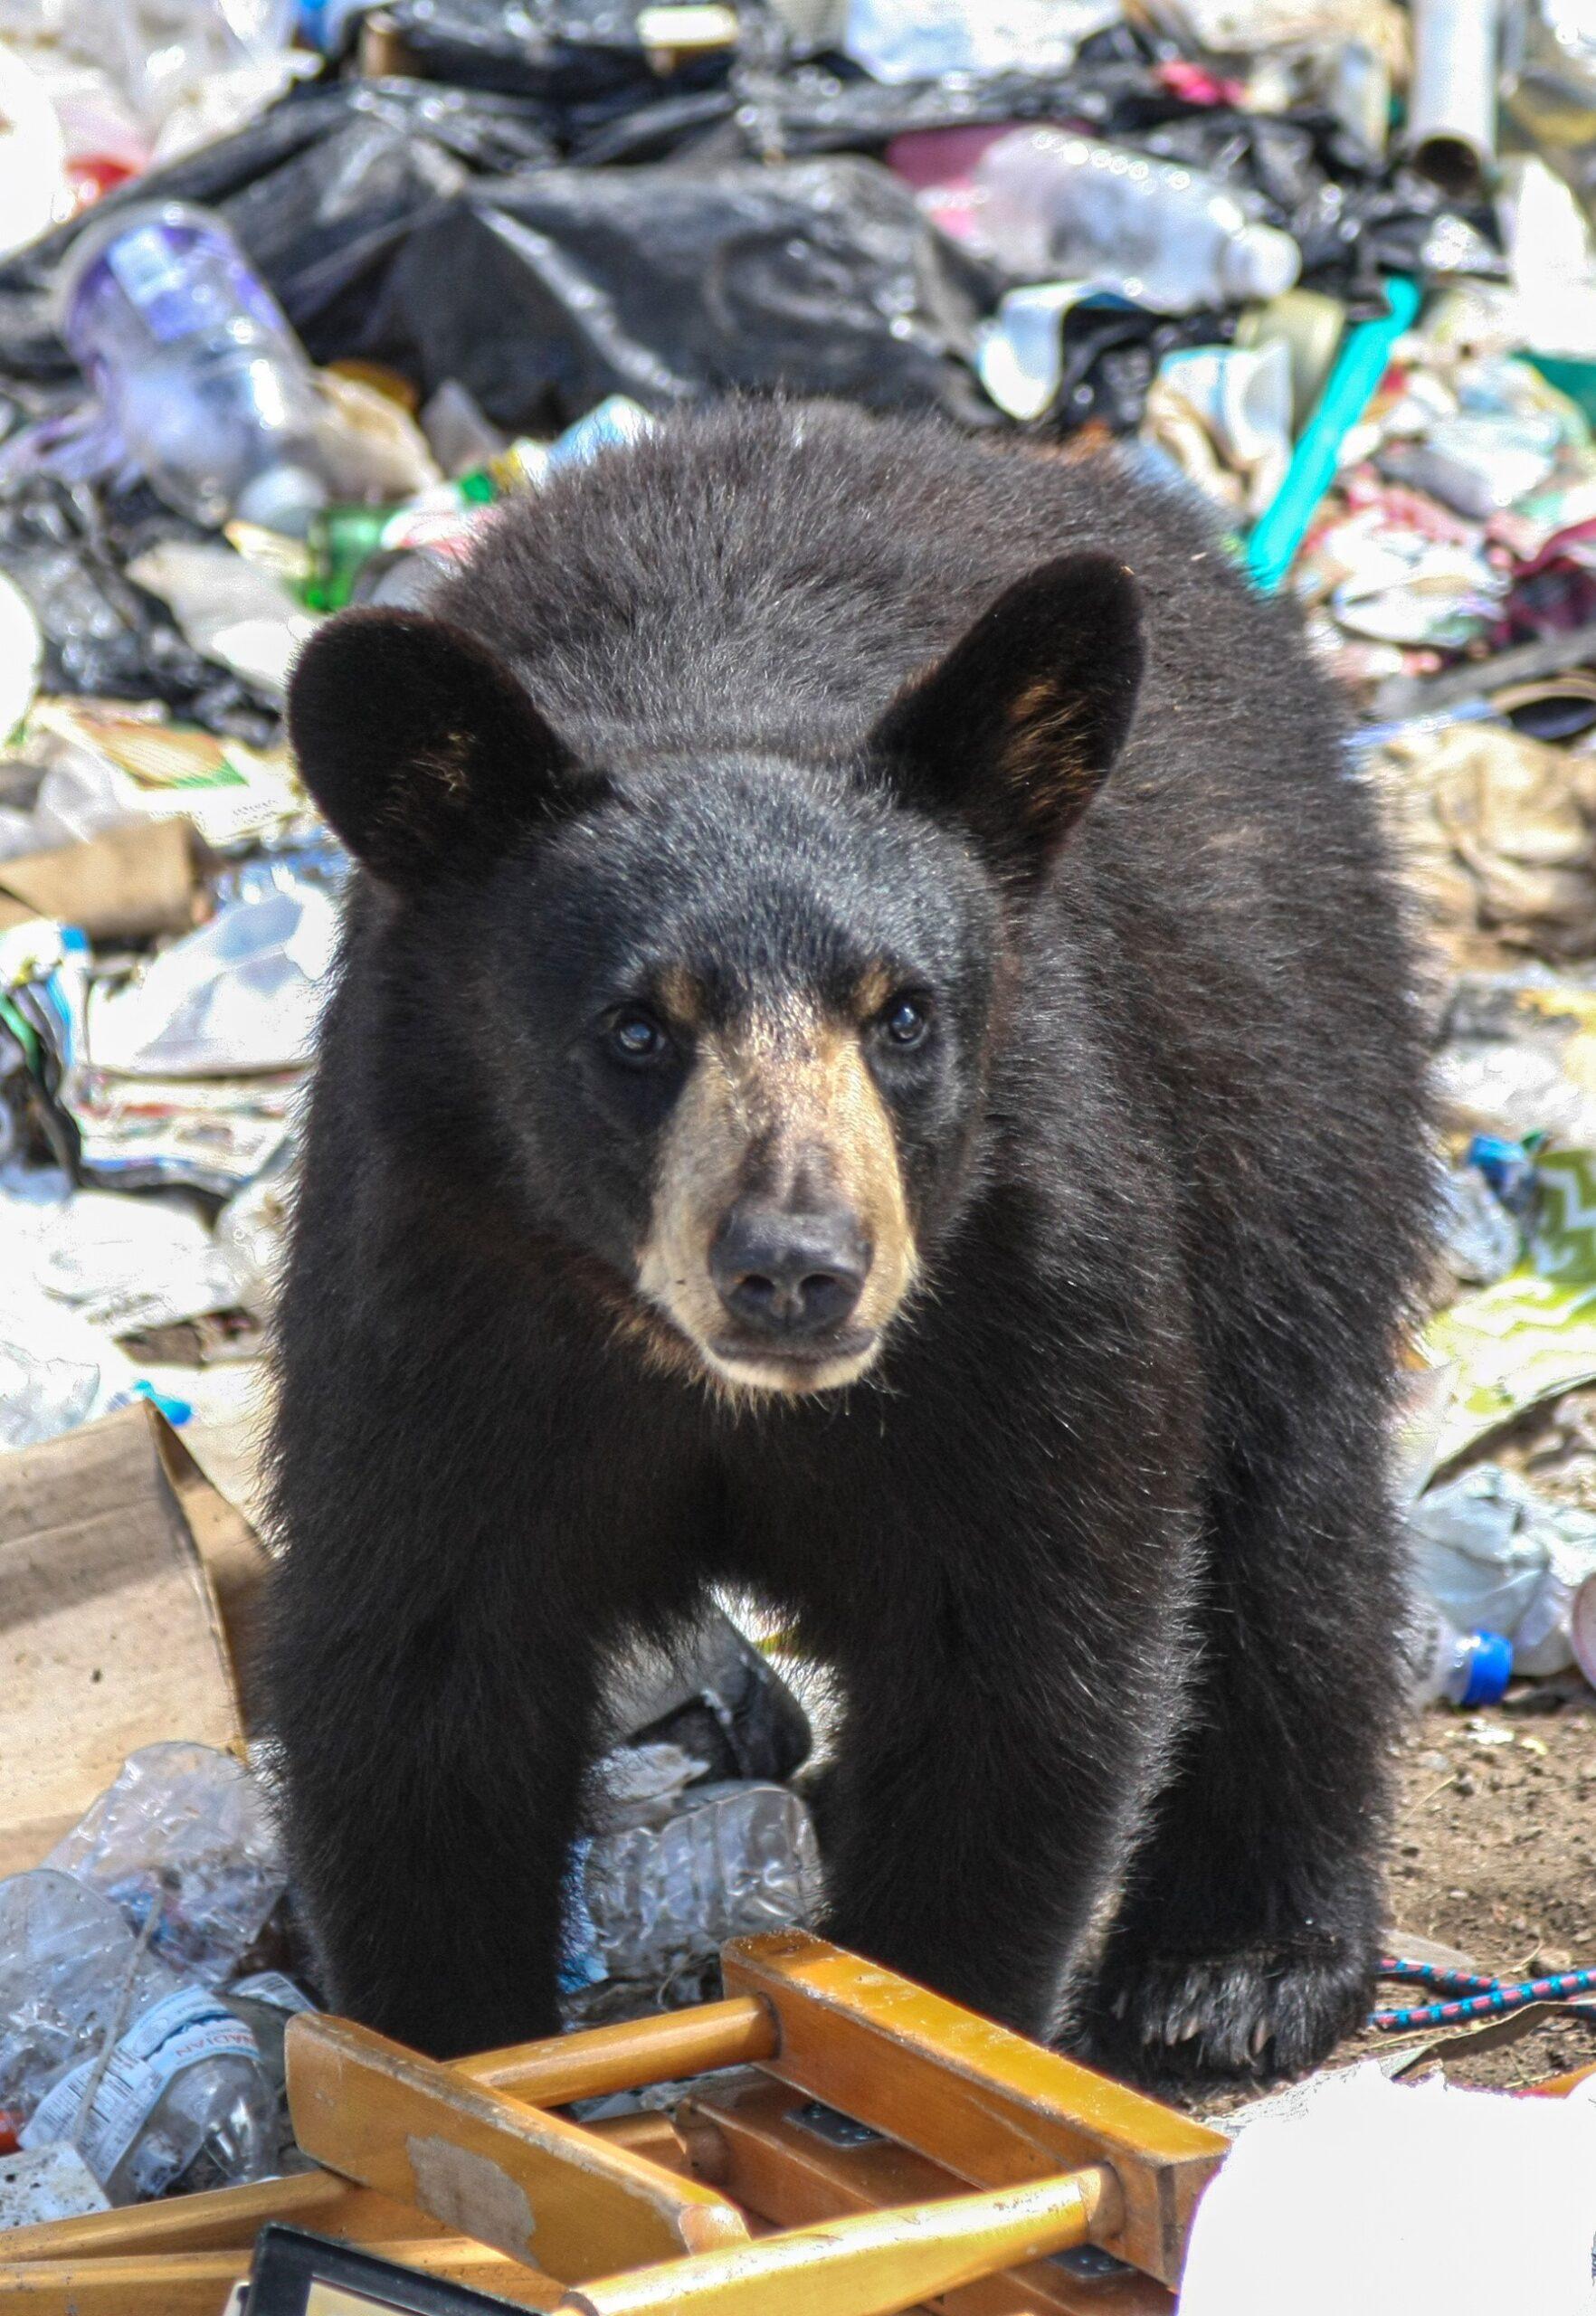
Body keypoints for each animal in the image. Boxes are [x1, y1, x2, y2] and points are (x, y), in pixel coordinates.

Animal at [265, 398, 1432, 2078]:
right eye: (635, 1027)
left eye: (903, 1014)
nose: (794, 1267)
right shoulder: (429, 1274)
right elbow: (422, 1671)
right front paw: (448, 2064)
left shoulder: (1032, 1277)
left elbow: (1019, 1658)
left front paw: (916, 2037)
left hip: (1291, 1096)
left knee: (1292, 1513)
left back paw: (1233, 1972)